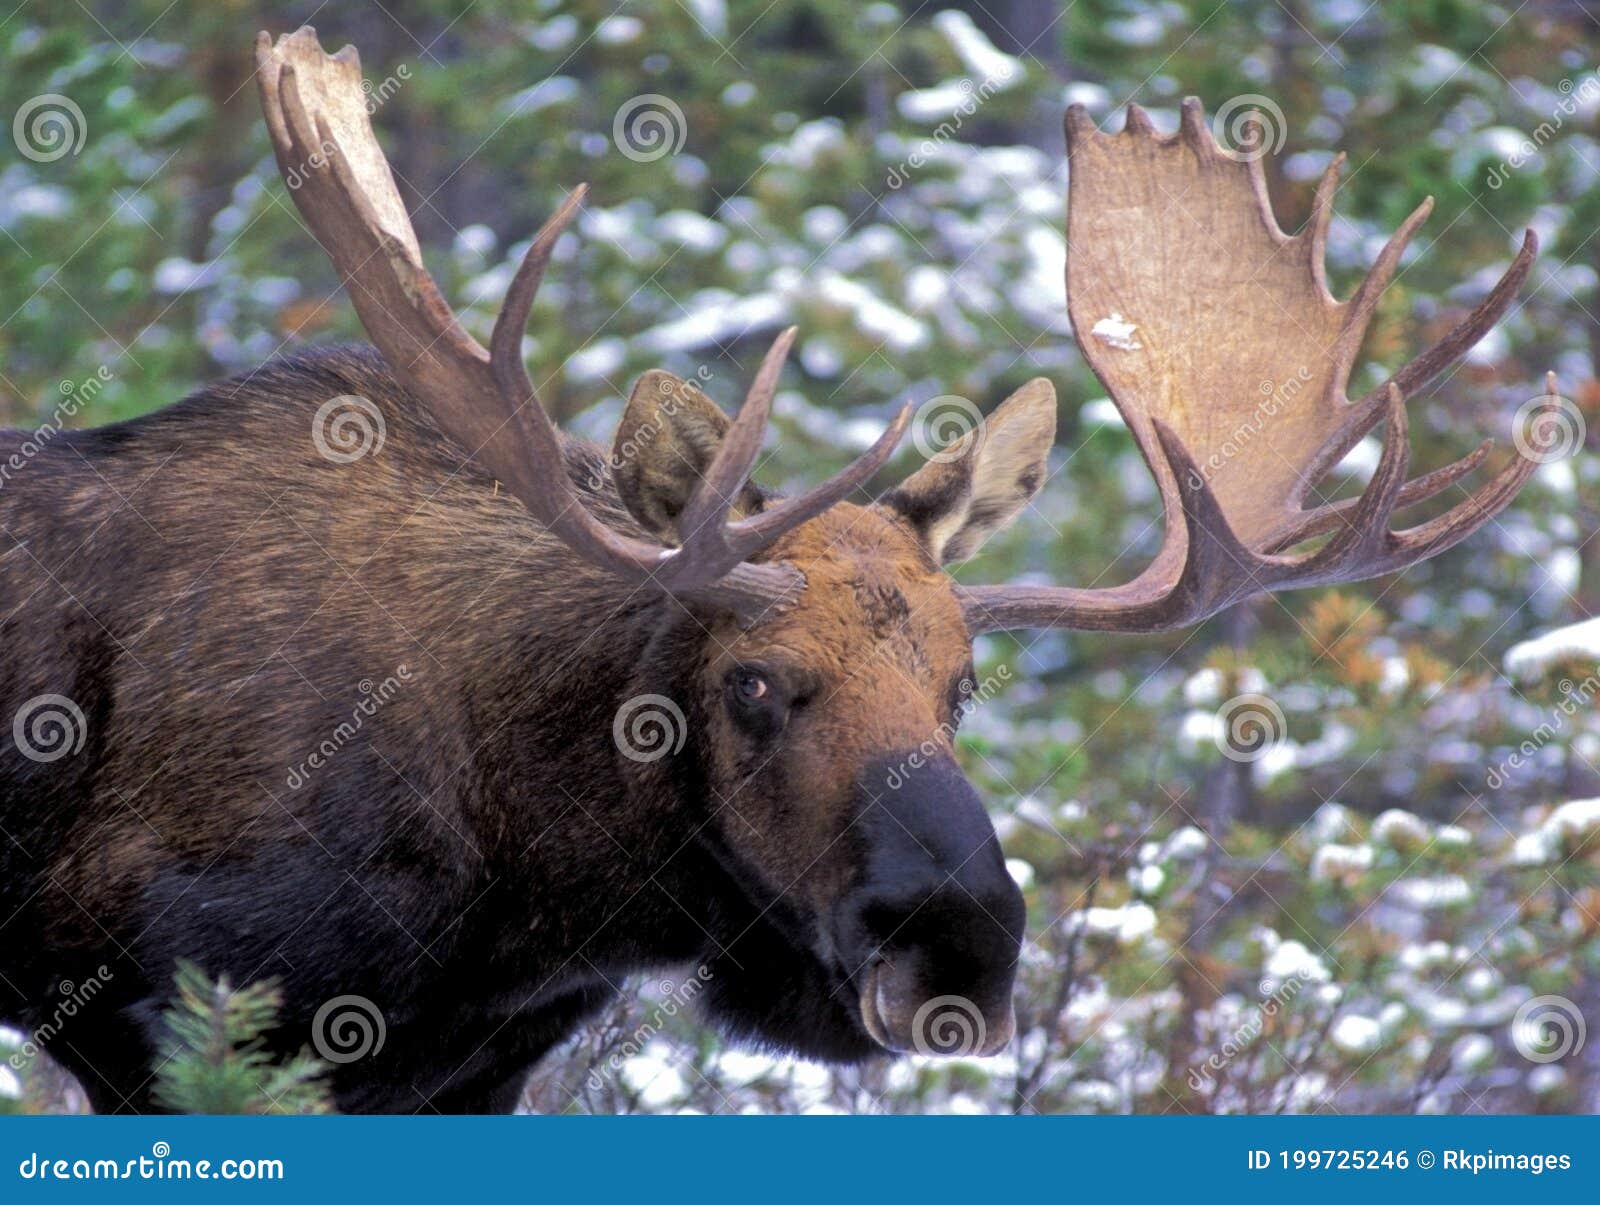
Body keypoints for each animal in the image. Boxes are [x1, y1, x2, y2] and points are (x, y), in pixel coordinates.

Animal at [0, 27, 1552, 1113]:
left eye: (964, 682)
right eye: (752, 682)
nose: (961, 946)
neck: (535, 896)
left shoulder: (467, 1064)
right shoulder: (167, 1005)